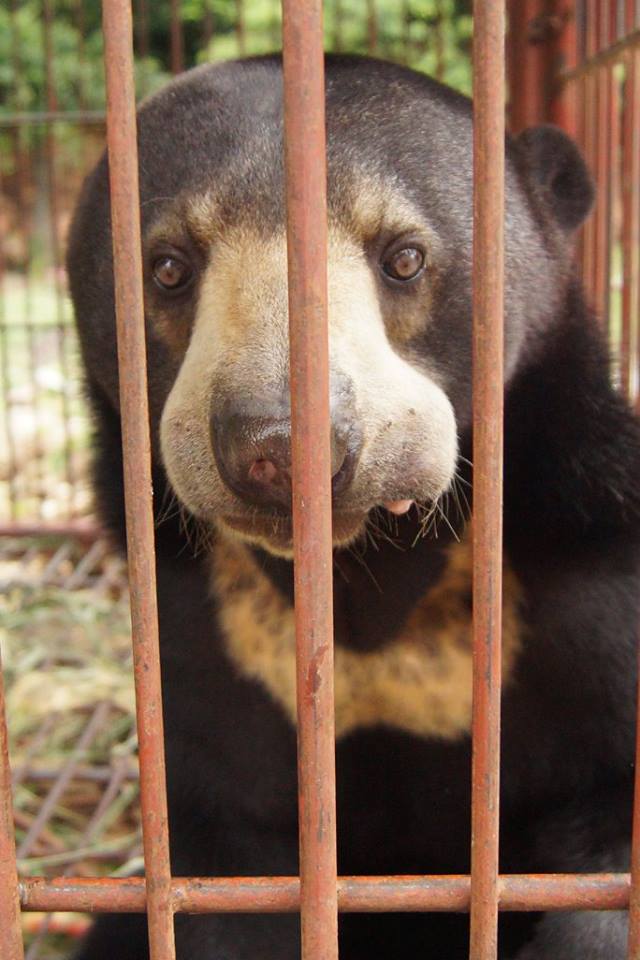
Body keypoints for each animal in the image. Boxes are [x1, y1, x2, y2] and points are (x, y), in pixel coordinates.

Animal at [66, 54, 640, 959]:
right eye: (169, 267)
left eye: (403, 257)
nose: (277, 446)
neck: (372, 569)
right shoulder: (210, 639)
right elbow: (228, 868)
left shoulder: (585, 580)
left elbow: (611, 817)